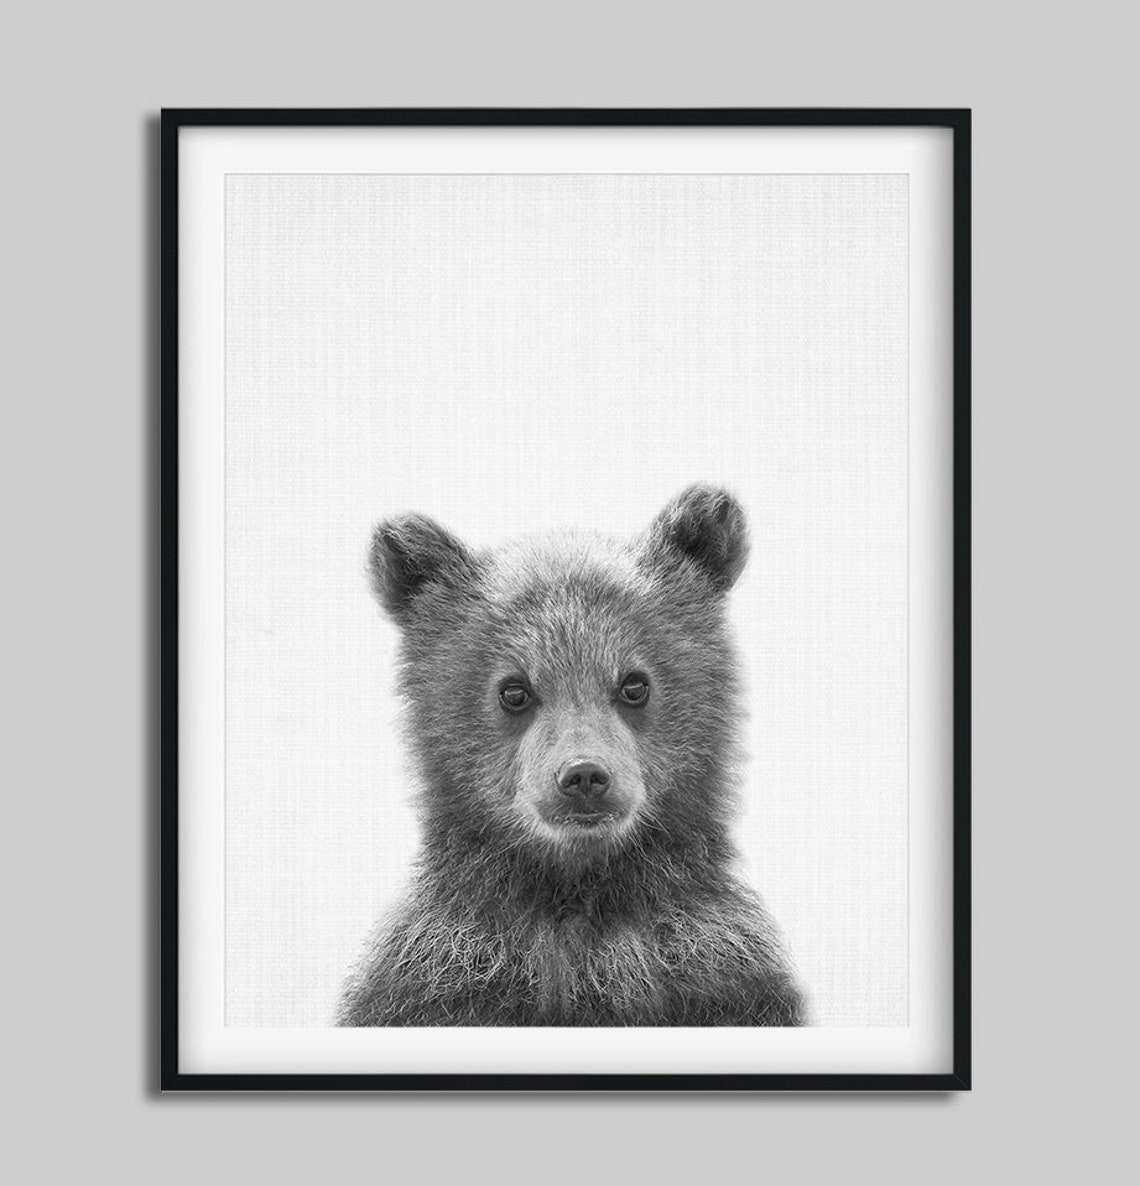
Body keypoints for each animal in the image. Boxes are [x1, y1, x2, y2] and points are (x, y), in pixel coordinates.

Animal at [337, 484, 805, 1026]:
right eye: (514, 690)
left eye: (634, 684)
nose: (583, 776)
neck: (575, 888)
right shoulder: (439, 977)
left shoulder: (721, 977)